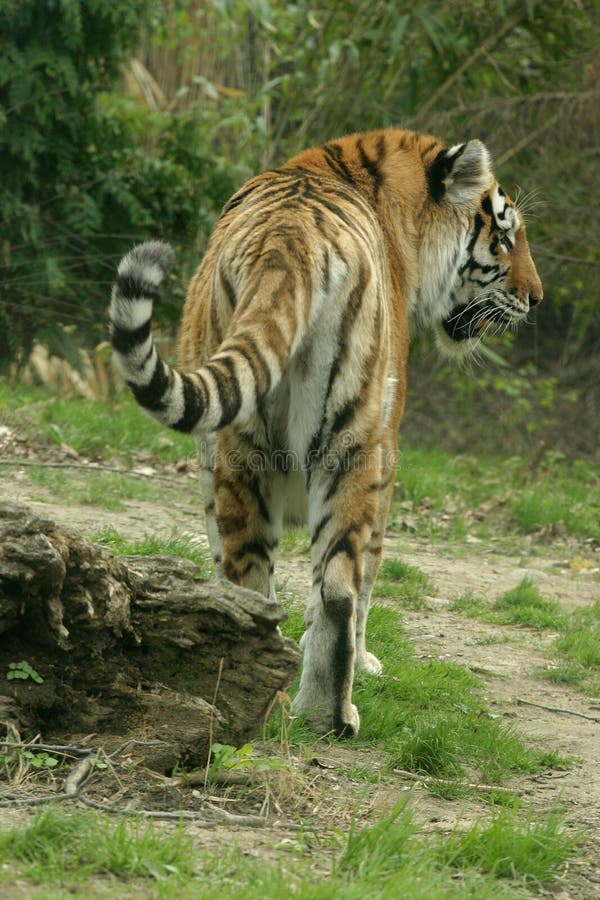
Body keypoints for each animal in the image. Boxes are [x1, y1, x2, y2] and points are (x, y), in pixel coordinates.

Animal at [109, 128, 542, 737]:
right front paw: (368, 662)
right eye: (504, 239)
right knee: (334, 586)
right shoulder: (389, 442)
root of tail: (288, 241)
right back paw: (326, 713)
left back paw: (285, 704)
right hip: (348, 439)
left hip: (255, 441)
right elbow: (368, 570)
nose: (536, 297)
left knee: (266, 582)